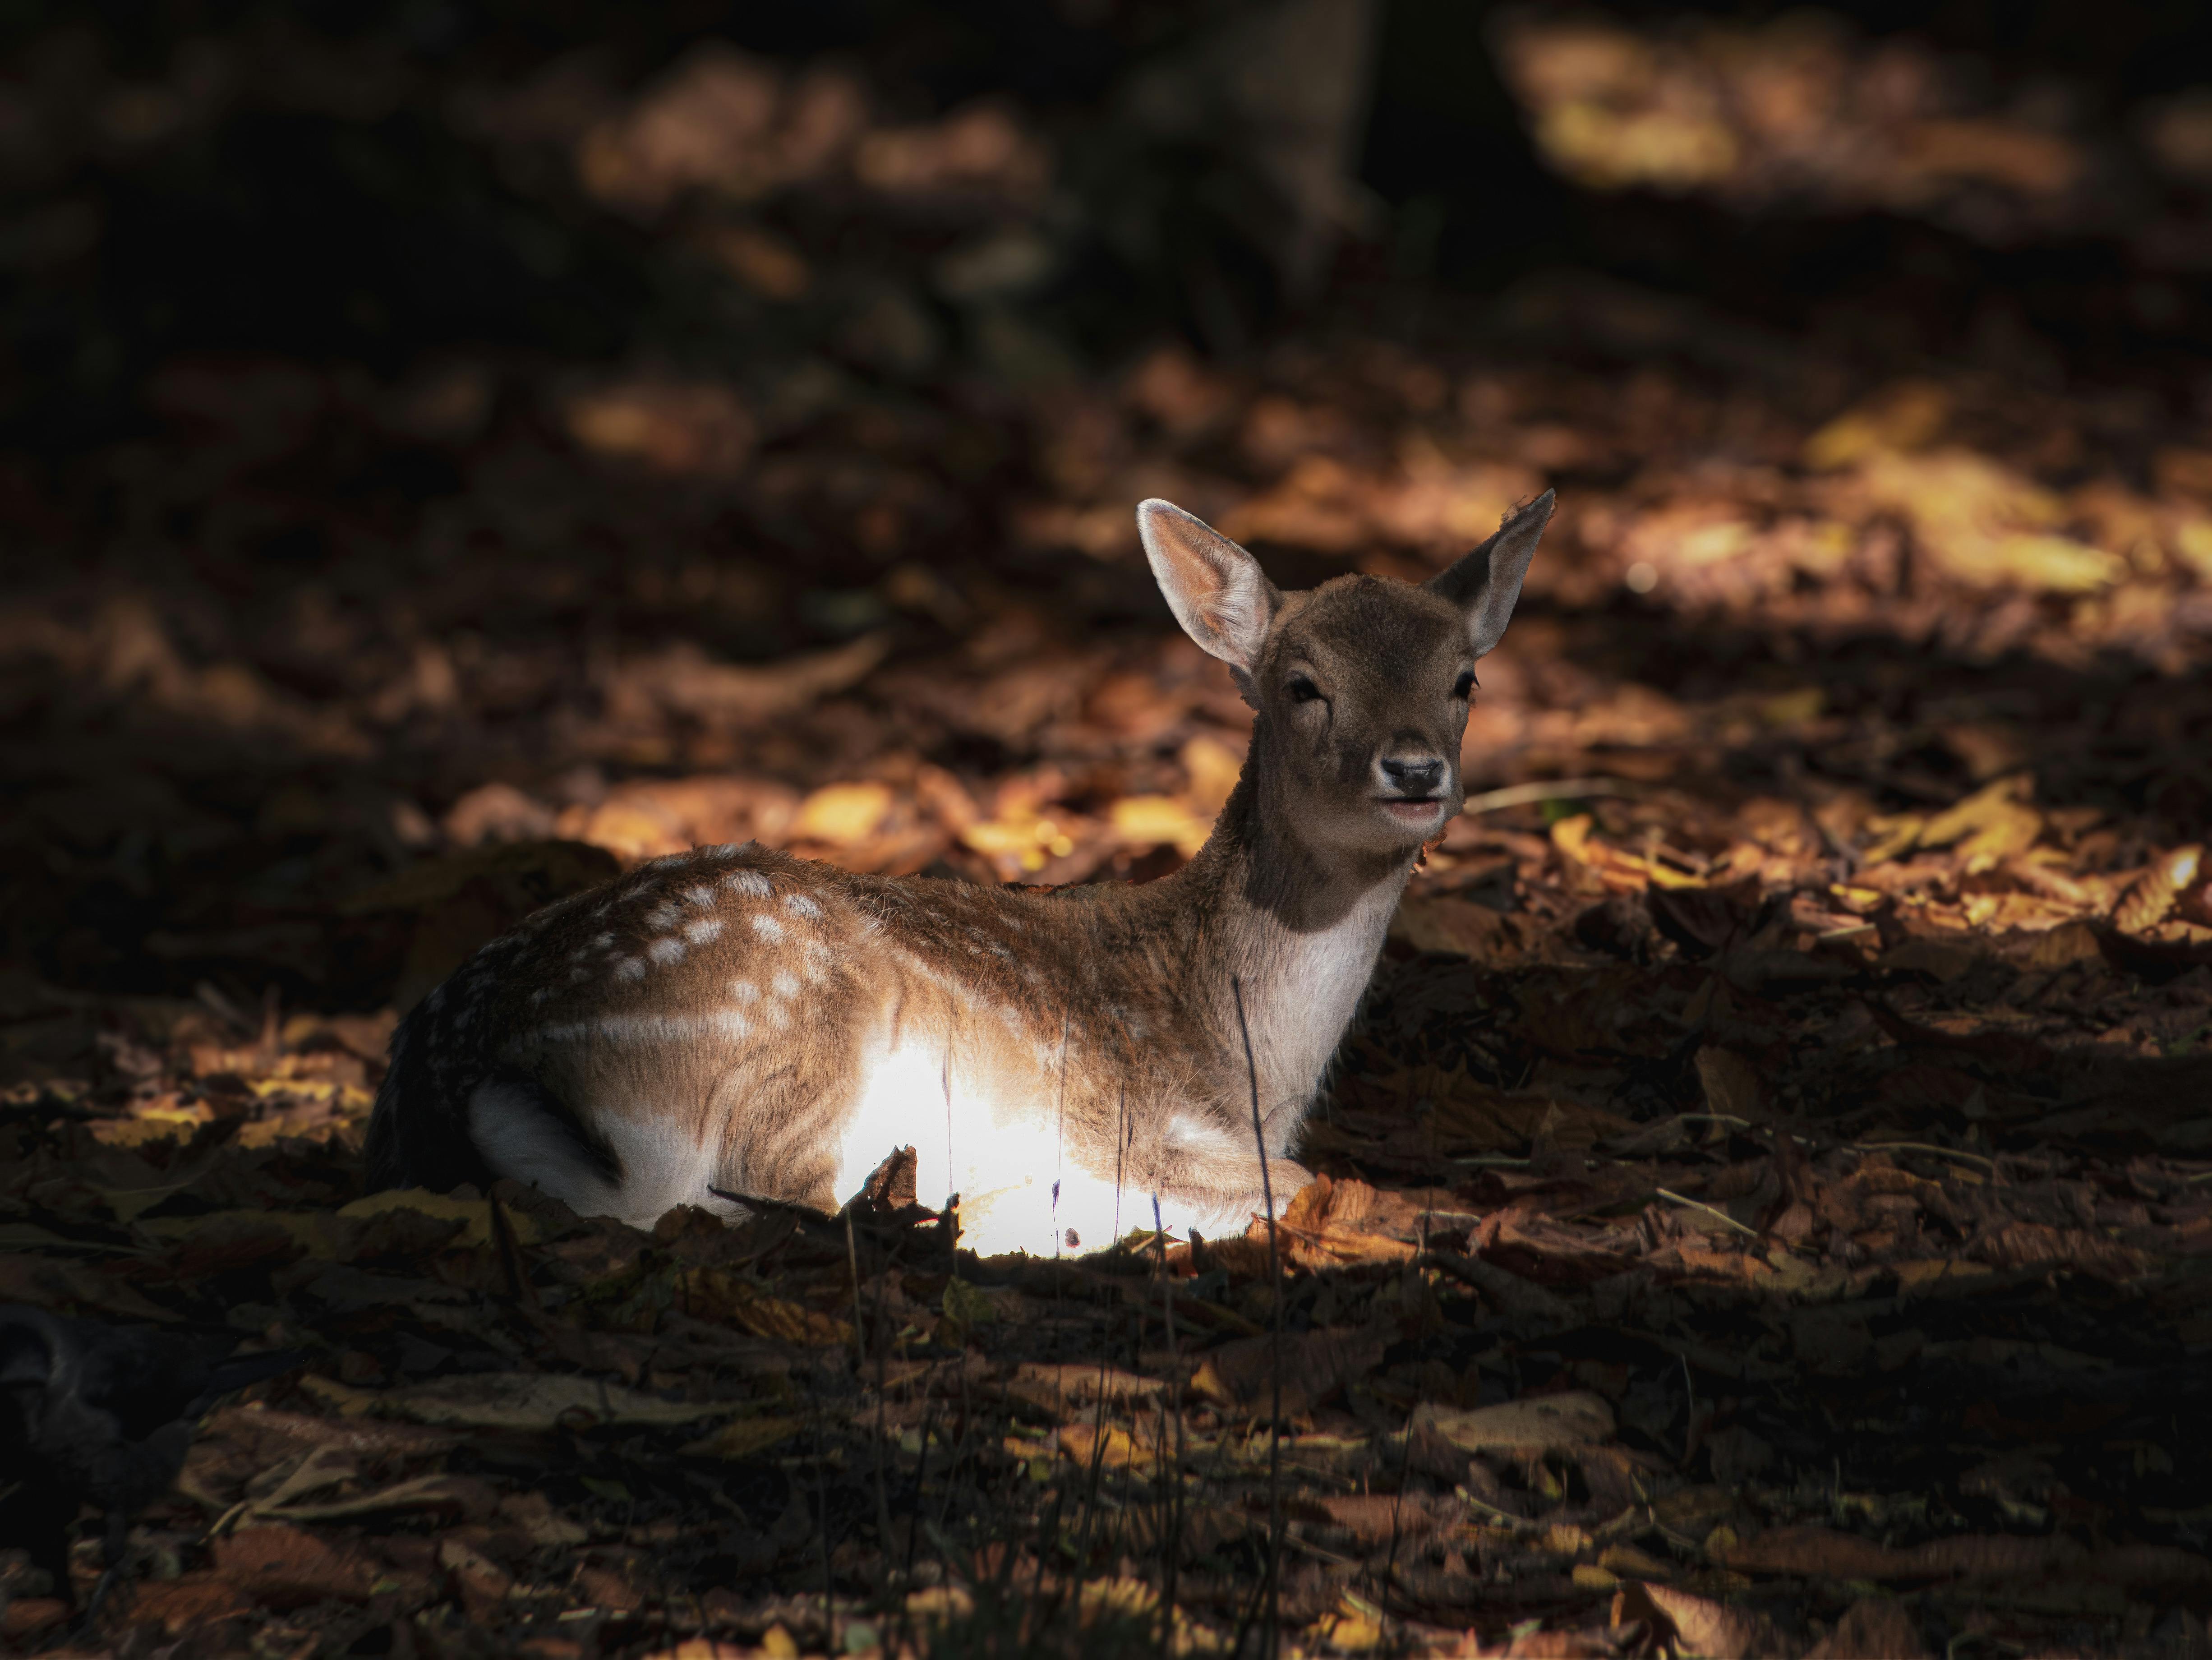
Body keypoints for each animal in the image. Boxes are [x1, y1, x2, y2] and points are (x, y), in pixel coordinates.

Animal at [365, 491, 1554, 1257]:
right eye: (1302, 684)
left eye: (1465, 679)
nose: (1415, 768)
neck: (1245, 1061)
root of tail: (461, 1074)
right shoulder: (1131, 1119)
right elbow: (1298, 1180)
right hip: (783, 1027)